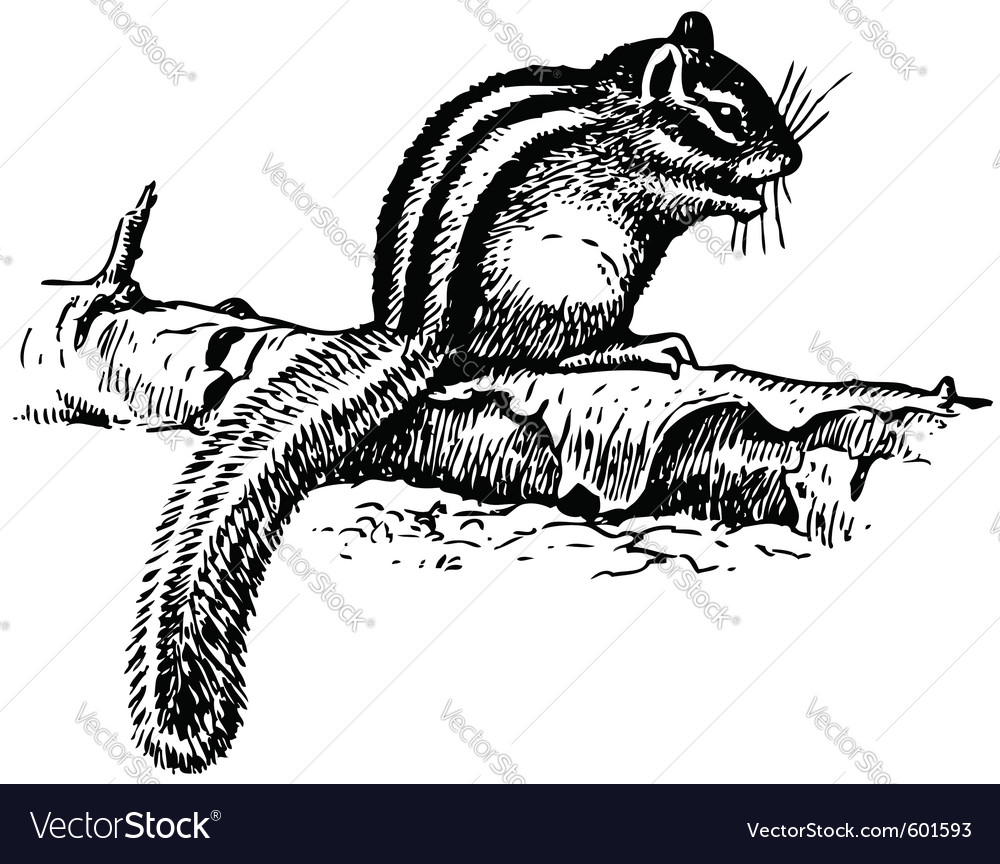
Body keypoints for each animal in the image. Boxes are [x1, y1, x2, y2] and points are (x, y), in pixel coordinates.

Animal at [127, 11, 803, 772]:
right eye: (730, 116)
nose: (793, 158)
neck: (623, 108)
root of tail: (420, 337)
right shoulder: (652, 171)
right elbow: (691, 187)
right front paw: (741, 192)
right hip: (577, 286)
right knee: (537, 354)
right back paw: (636, 346)